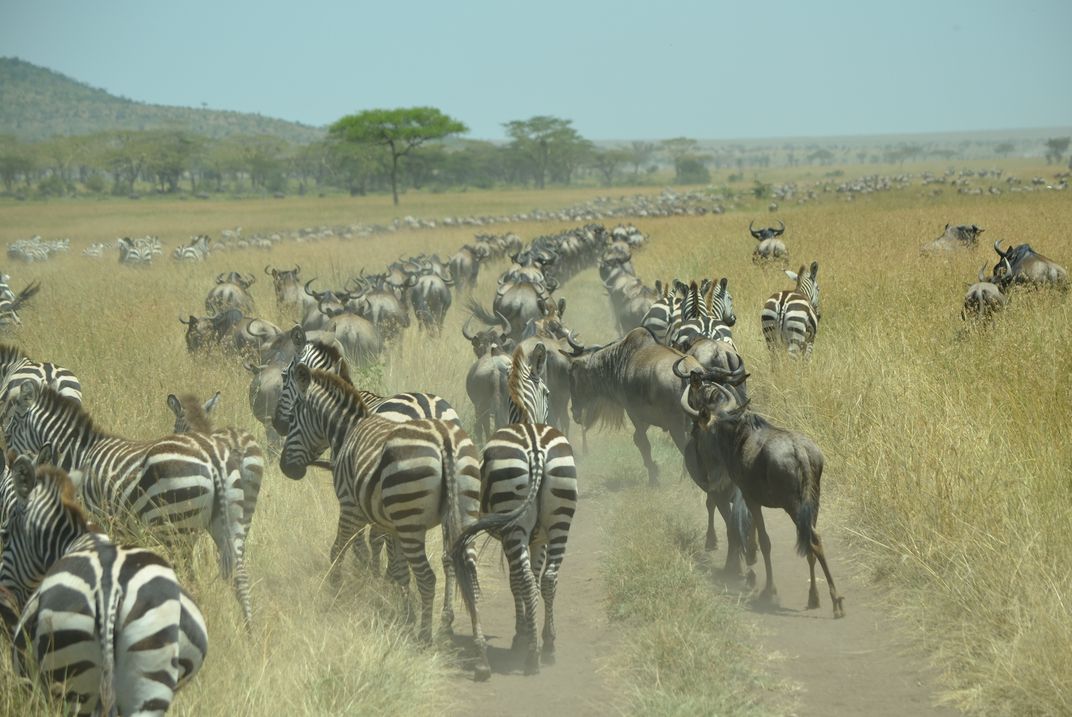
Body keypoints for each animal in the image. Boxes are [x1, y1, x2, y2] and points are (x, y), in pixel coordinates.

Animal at [0, 454, 208, 716]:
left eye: (5, 535)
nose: (4, 603)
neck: (82, 538)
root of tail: (110, 594)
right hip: (149, 673)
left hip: (74, 685)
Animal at [1, 382, 254, 631]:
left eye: (10, 428)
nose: (9, 460)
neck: (78, 454)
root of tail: (213, 458)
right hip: (232, 522)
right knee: (240, 577)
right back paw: (249, 632)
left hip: (177, 530)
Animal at [279, 365, 492, 680]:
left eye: (293, 417)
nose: (285, 468)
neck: (349, 430)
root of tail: (444, 439)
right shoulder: (391, 524)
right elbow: (399, 570)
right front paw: (404, 615)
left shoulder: (351, 508)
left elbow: (340, 551)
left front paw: (334, 593)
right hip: (462, 512)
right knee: (465, 569)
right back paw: (478, 652)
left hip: (411, 518)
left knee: (427, 577)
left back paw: (425, 638)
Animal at [451, 338, 577, 674]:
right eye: (548, 394)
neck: (524, 419)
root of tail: (535, 448)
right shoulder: (539, 538)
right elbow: (533, 575)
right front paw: (534, 632)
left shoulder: (512, 534)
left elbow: (515, 582)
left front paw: (521, 633)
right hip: (560, 520)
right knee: (548, 578)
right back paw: (549, 645)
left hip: (514, 527)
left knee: (525, 580)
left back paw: (531, 652)